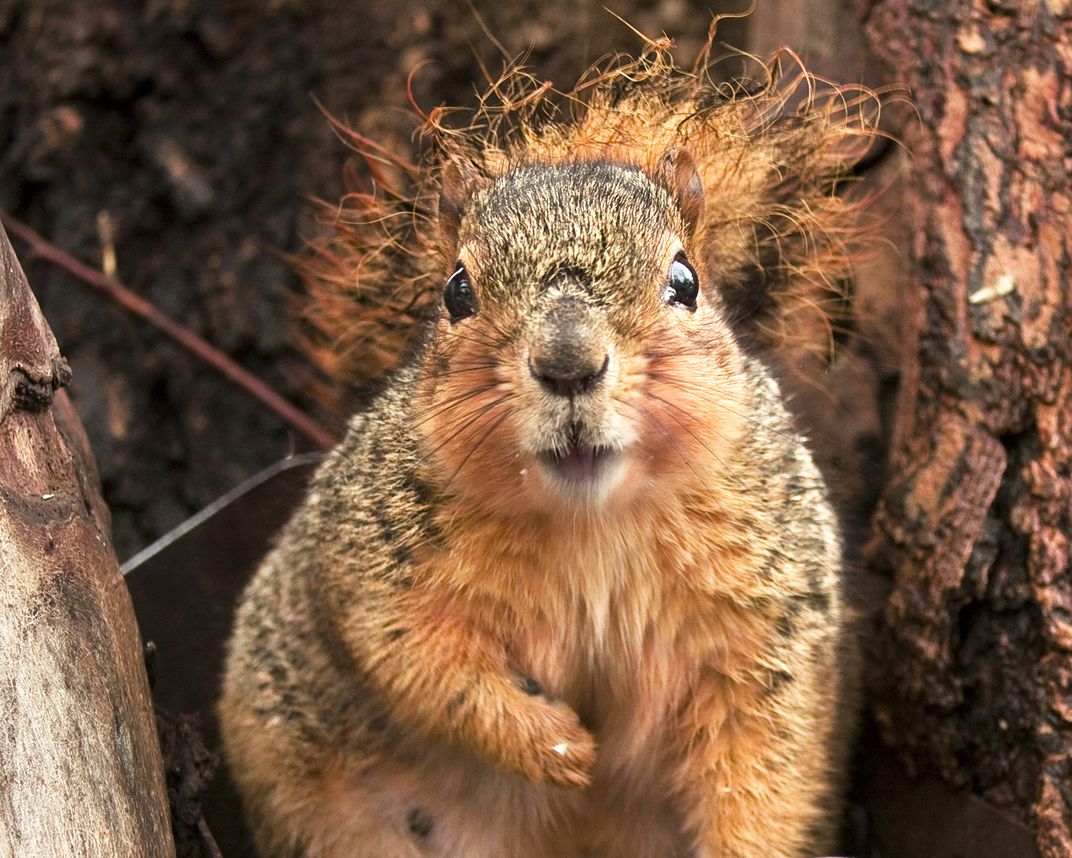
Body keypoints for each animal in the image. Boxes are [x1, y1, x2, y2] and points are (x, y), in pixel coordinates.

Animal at [219, 35, 879, 858]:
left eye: (687, 281)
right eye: (456, 290)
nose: (568, 363)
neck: (590, 524)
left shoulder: (765, 627)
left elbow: (760, 770)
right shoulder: (373, 567)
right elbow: (419, 663)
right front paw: (559, 746)